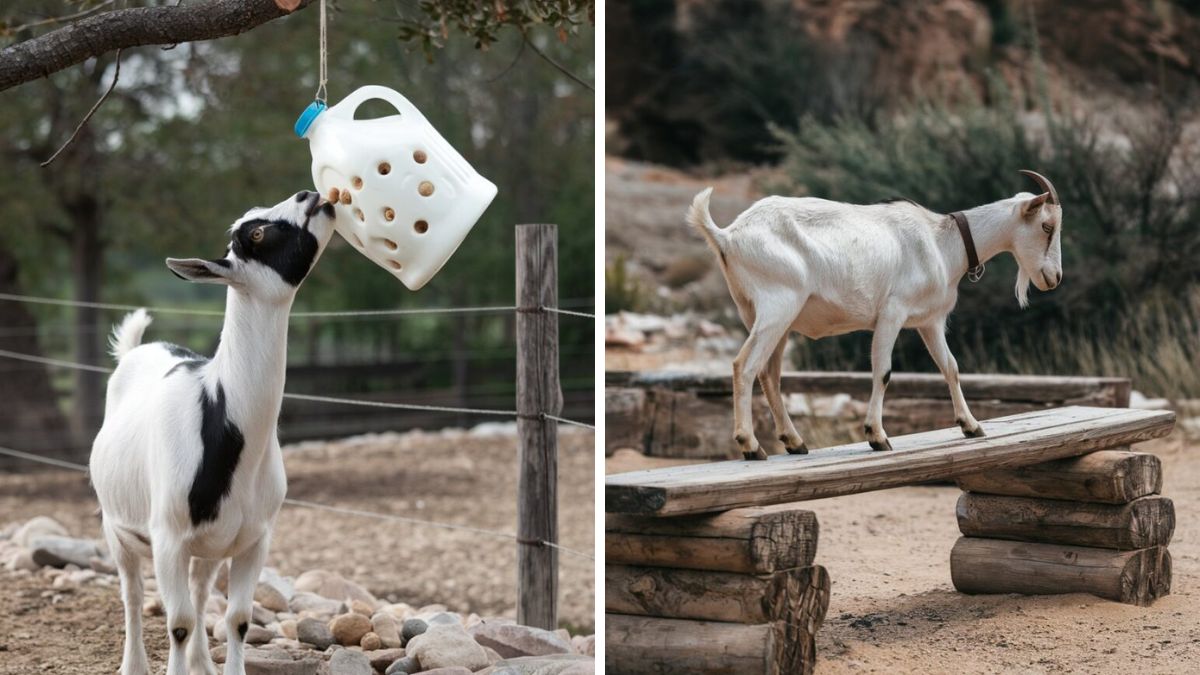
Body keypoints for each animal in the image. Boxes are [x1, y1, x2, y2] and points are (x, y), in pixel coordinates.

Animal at [89, 191, 337, 675]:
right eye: (255, 234)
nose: (310, 195)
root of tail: (137, 350)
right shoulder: (167, 537)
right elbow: (178, 623)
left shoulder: (256, 538)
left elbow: (238, 618)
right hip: (117, 525)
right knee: (132, 595)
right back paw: (134, 664)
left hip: (210, 544)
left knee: (201, 592)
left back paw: (202, 663)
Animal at [687, 171, 1063, 460]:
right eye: (1047, 226)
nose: (1055, 277)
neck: (942, 242)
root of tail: (727, 235)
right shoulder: (892, 312)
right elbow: (883, 371)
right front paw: (877, 436)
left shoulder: (929, 322)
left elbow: (951, 367)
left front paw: (971, 426)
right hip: (777, 307)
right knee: (745, 366)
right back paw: (751, 446)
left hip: (762, 315)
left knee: (769, 375)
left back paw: (795, 443)